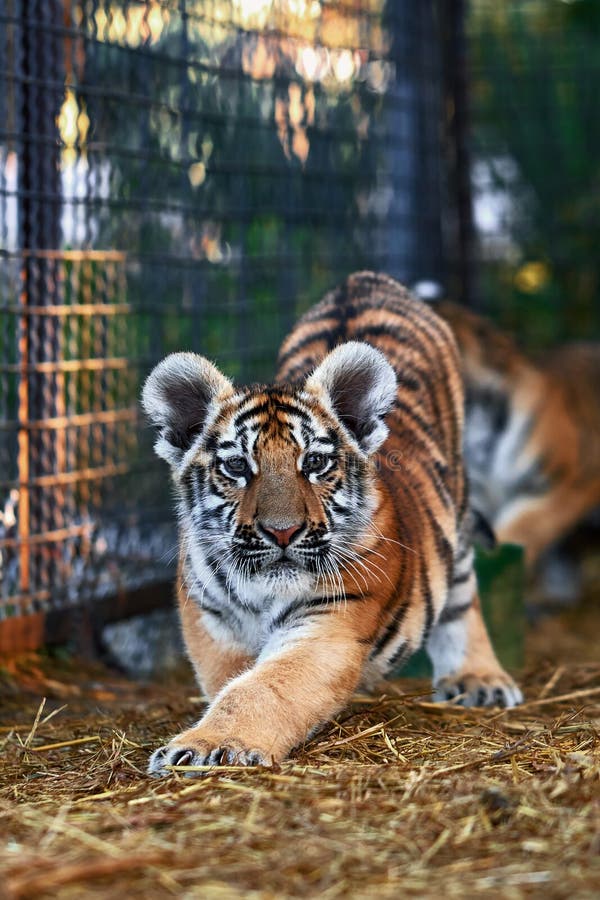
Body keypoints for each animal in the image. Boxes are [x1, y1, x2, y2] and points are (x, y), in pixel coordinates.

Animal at [142, 271, 522, 775]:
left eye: (315, 463)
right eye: (237, 467)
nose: (282, 531)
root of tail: (364, 280)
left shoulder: (329, 626)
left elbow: (261, 687)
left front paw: (208, 745)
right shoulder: (211, 621)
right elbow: (230, 681)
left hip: (456, 516)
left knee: (462, 597)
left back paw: (480, 680)